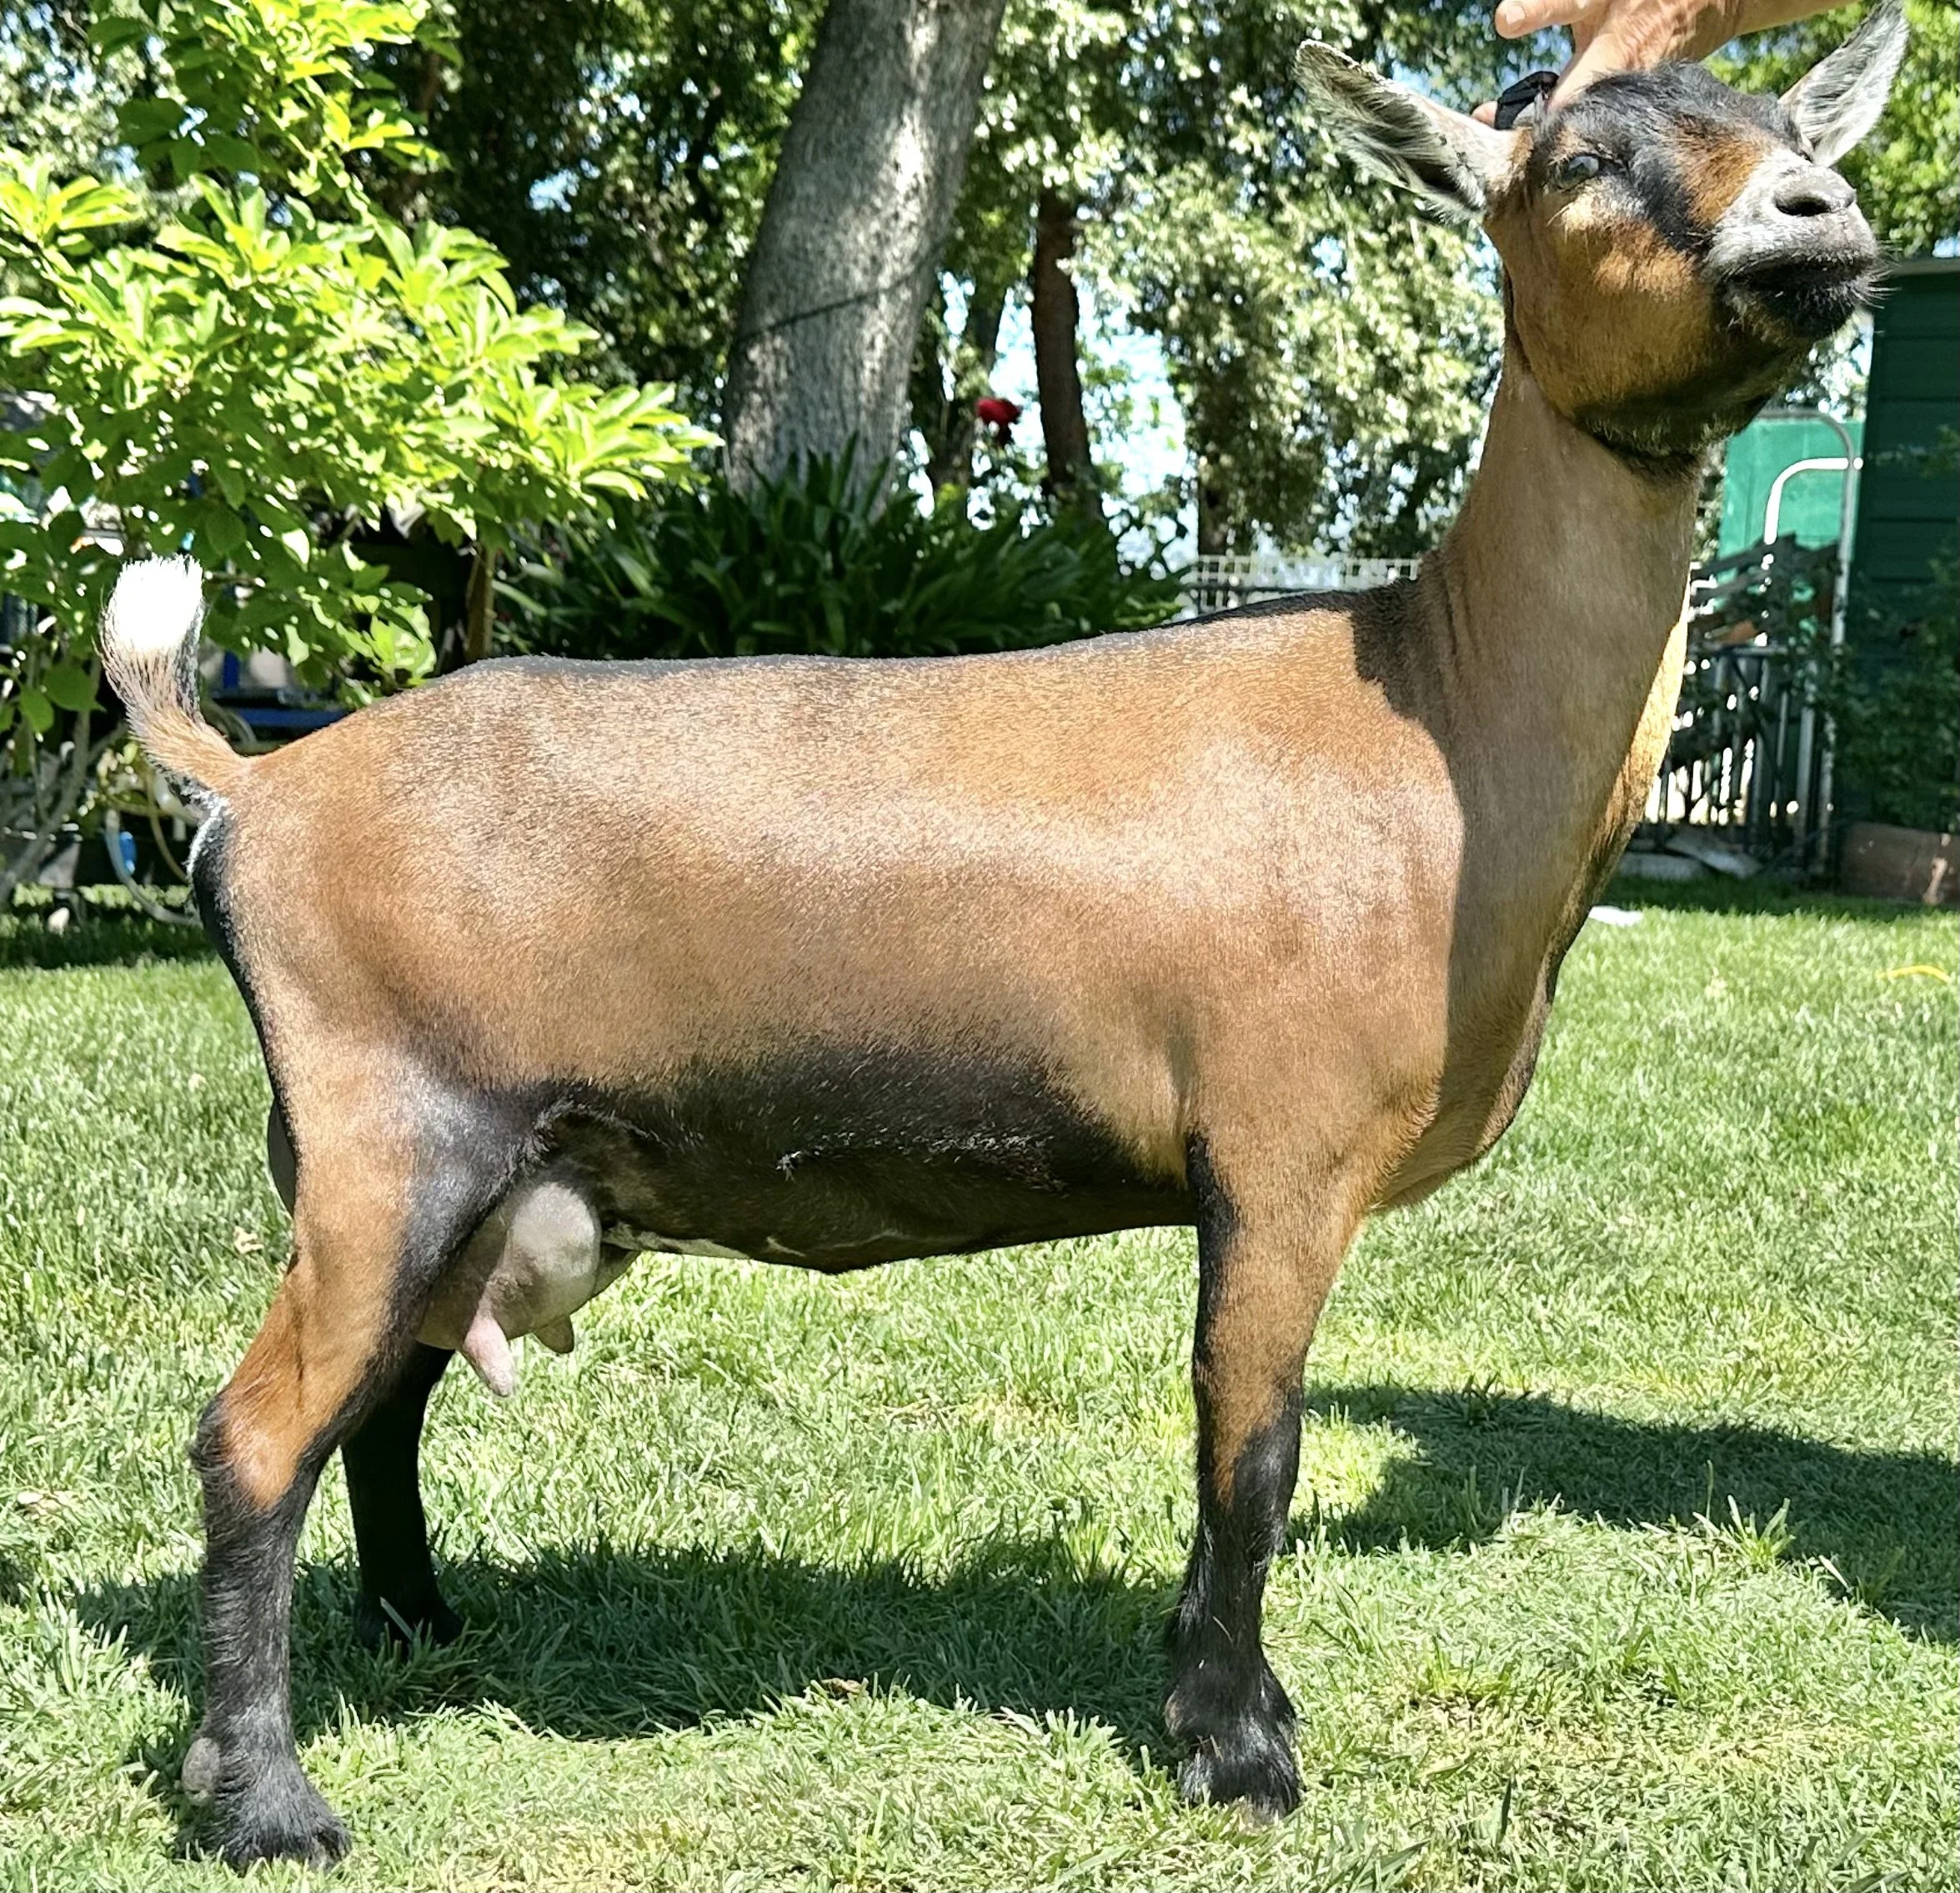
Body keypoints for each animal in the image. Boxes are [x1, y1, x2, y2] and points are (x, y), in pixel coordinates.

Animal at [102, 6, 1904, 1865]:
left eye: (1789, 128)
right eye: (1569, 166)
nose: (1816, 216)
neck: (1433, 720)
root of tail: (259, 783)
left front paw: (1218, 1710)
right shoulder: (1277, 1152)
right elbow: (1248, 1447)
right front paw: (1236, 1747)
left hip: (471, 1167)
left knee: (375, 1403)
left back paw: (418, 1623)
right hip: (390, 1135)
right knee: (258, 1435)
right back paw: (266, 1800)